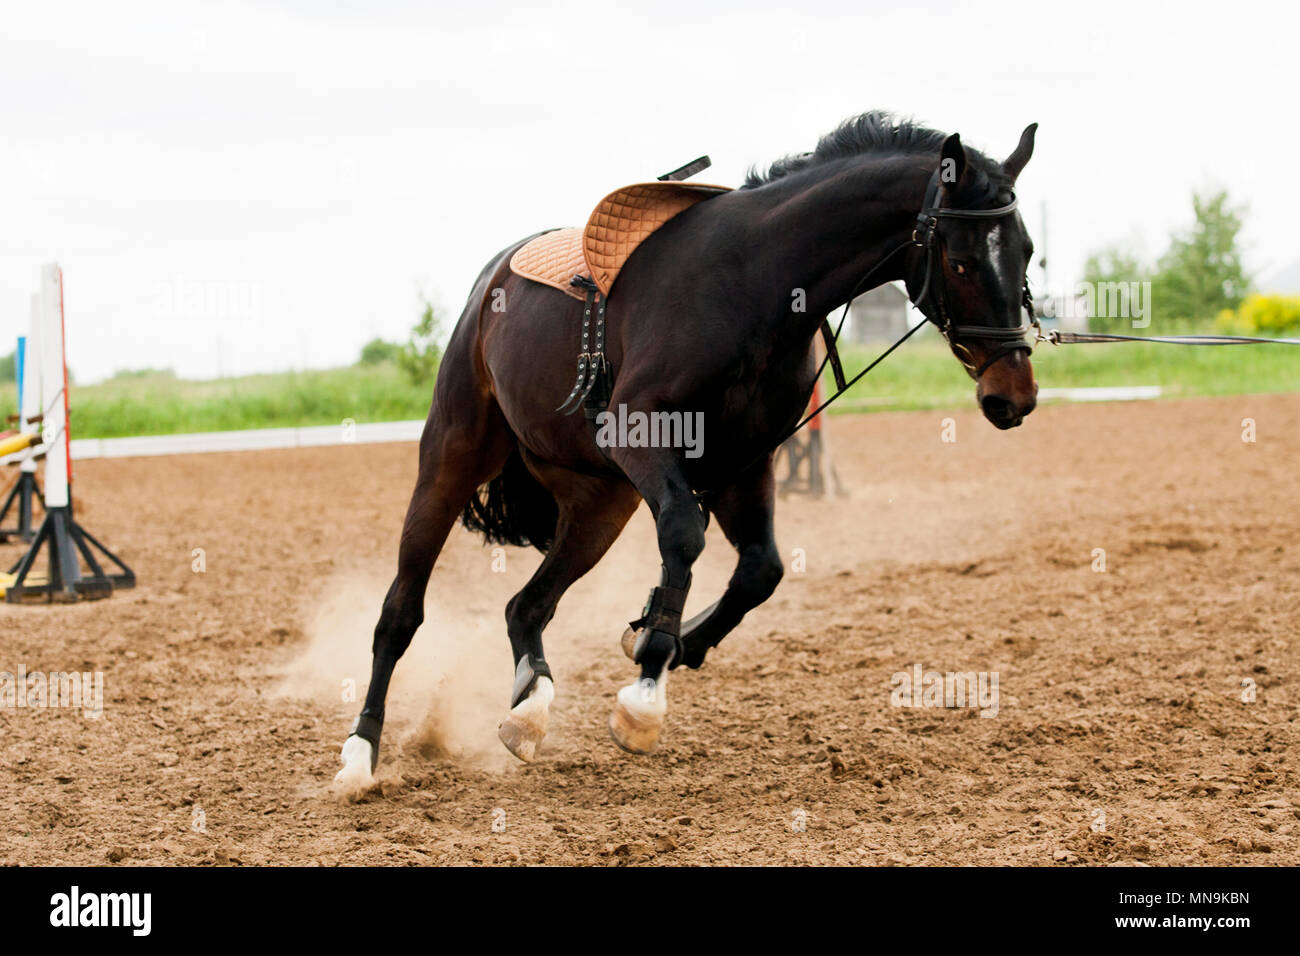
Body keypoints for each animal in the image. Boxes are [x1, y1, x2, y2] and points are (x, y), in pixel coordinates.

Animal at [334, 111, 1040, 787]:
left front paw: (671, 642)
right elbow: (683, 536)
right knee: (401, 611)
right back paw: (360, 756)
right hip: (451, 458)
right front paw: (645, 691)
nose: (1016, 394)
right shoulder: (643, 435)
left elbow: (760, 570)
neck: (757, 283)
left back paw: (529, 710)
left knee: (525, 606)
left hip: (599, 506)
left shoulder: (745, 464)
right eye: (961, 262)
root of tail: (490, 284)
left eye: (1028, 252)